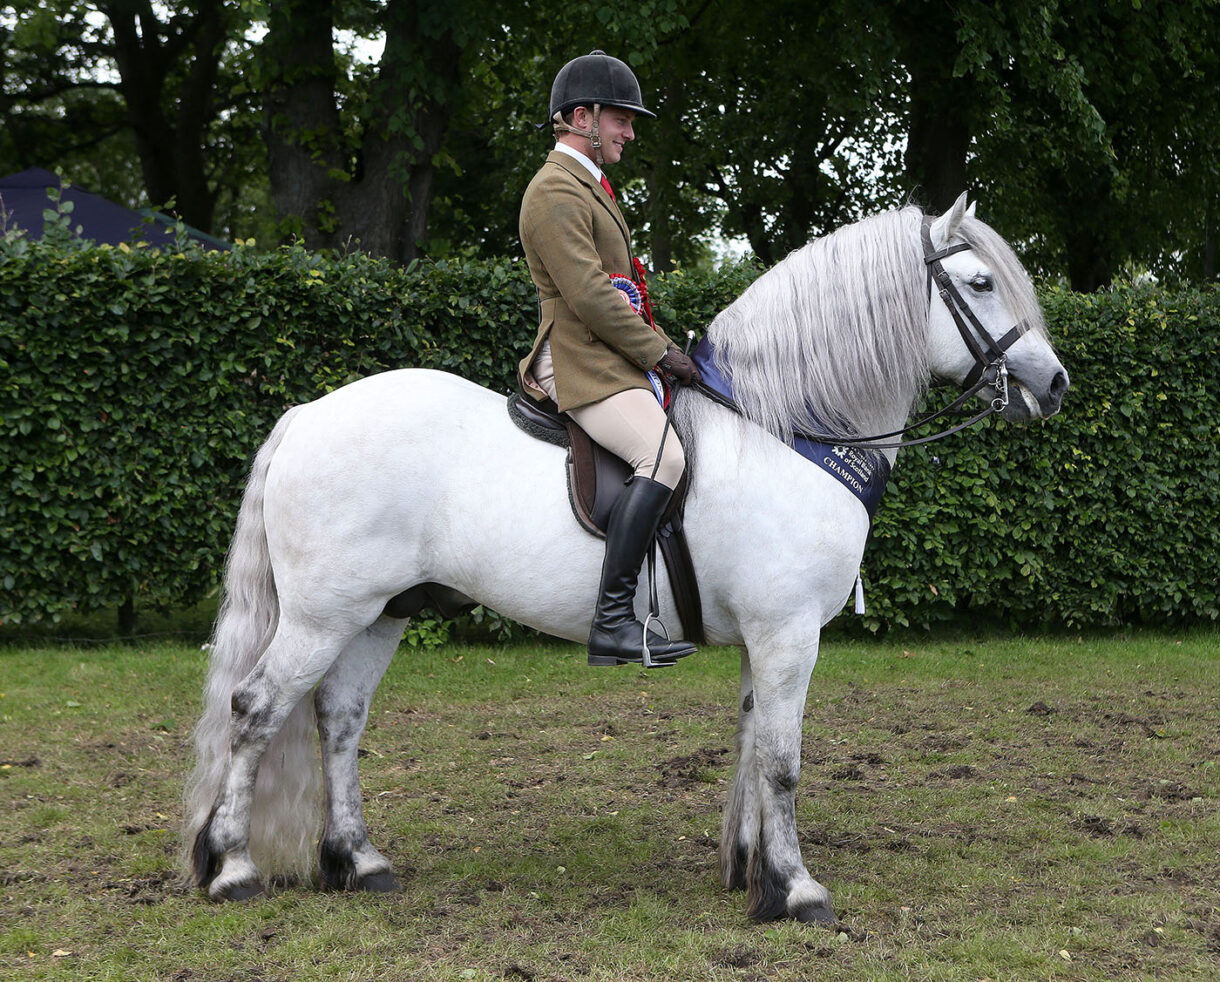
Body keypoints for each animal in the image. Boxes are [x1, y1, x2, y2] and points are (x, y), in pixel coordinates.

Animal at [184, 194, 1068, 923]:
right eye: (981, 283)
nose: (1054, 383)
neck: (786, 430)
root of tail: (309, 412)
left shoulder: (764, 638)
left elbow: (751, 747)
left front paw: (751, 873)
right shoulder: (788, 633)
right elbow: (783, 761)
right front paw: (797, 891)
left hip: (379, 613)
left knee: (339, 718)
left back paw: (358, 861)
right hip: (322, 614)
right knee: (256, 710)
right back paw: (230, 869)